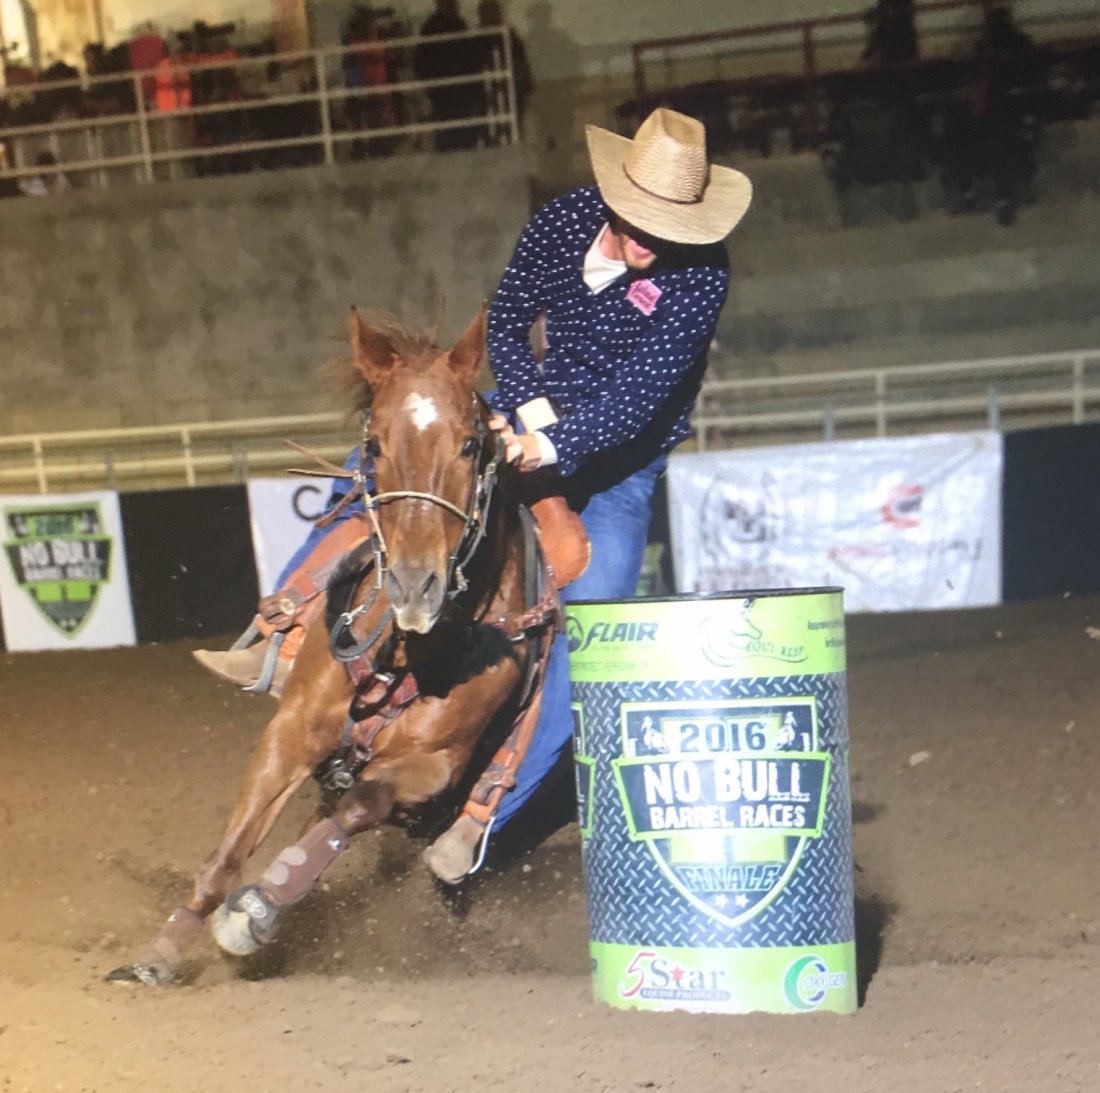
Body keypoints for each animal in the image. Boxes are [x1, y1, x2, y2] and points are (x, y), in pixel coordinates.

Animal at [108, 306, 558, 985]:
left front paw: (256, 910)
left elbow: (359, 807)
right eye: (374, 447)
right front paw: (160, 954)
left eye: (469, 444)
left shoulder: (432, 770)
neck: (411, 653)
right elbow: (229, 851)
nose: (413, 585)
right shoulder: (293, 730)